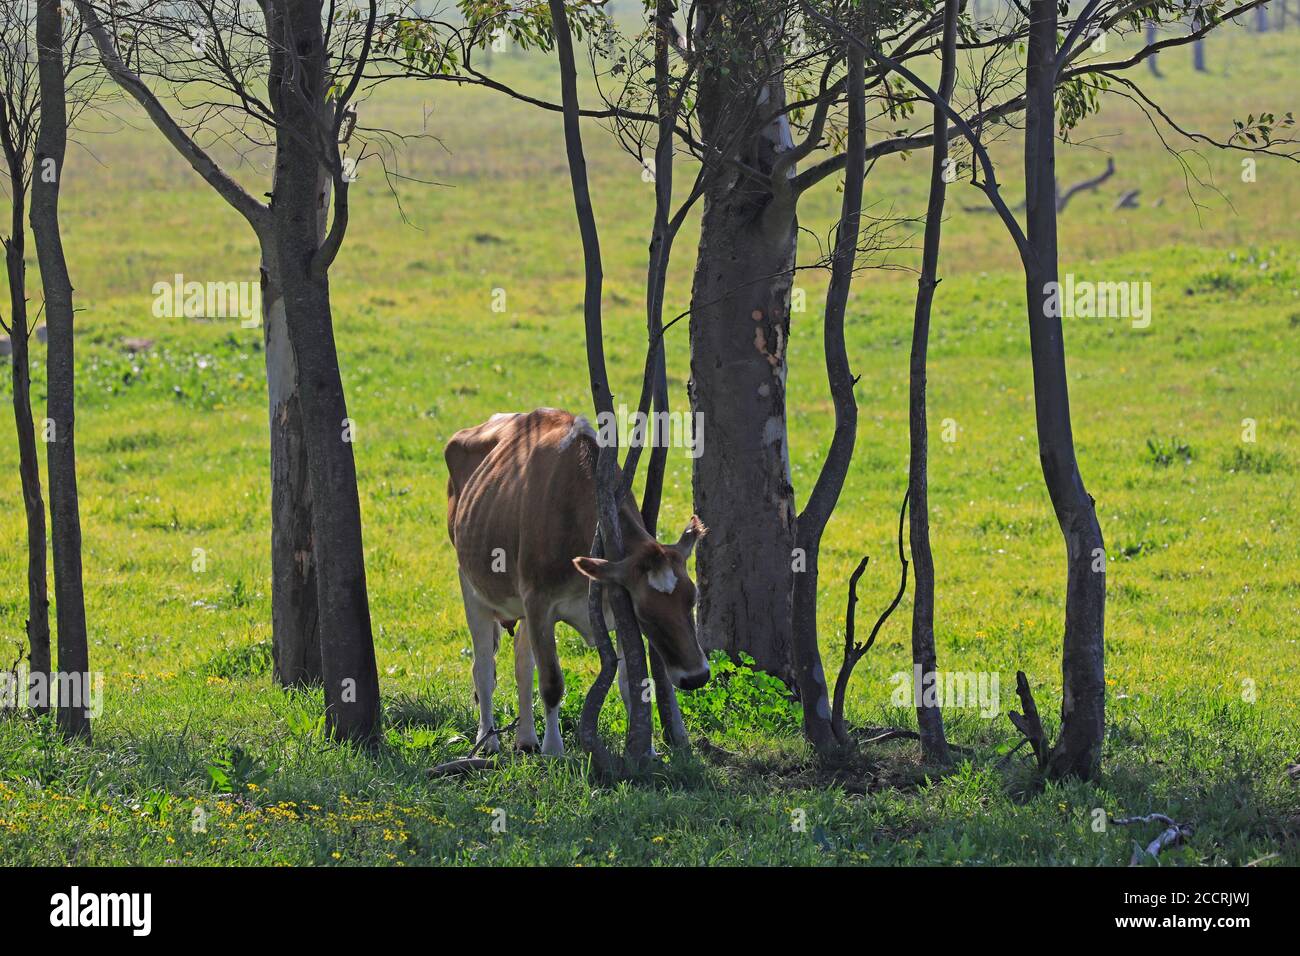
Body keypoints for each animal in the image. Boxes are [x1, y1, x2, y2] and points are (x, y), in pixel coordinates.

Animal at [445, 408, 710, 756]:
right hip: (471, 585)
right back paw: (488, 740)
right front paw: (554, 750)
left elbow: (630, 684)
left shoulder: (611, 606)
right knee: (484, 670)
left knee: (522, 666)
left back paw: (526, 738)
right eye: (646, 612)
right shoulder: (539, 602)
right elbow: (551, 682)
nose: (697, 676)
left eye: (692, 600)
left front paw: (647, 751)